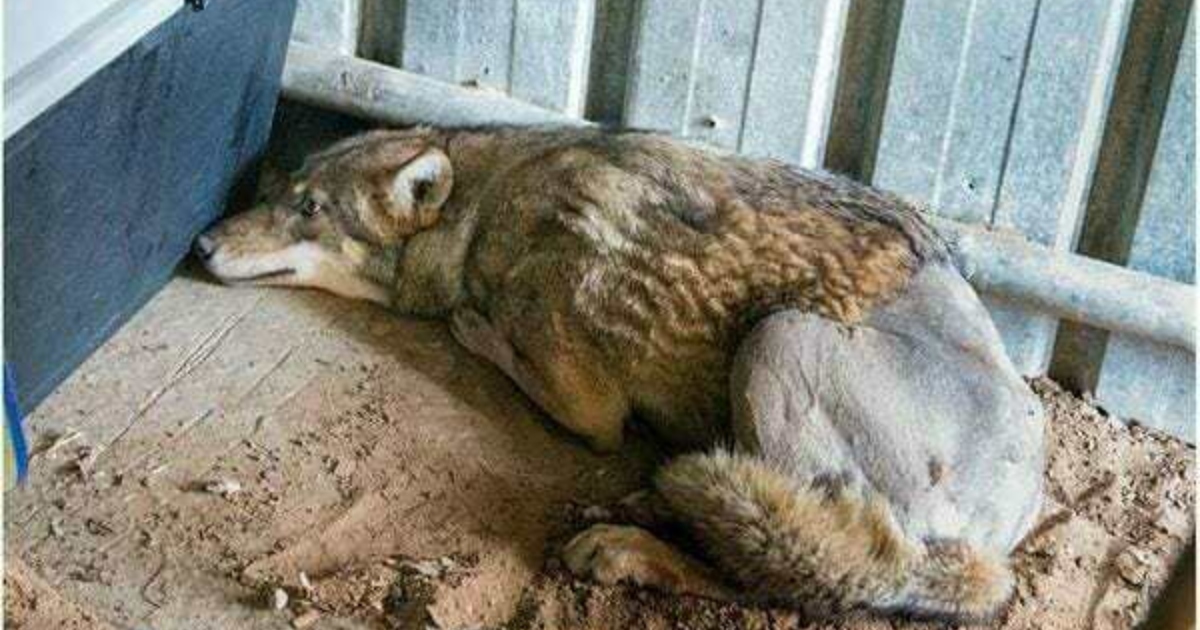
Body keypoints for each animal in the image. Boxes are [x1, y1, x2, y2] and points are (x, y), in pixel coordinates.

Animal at [195, 126, 1045, 622]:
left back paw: (631, 547)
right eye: (280, 190)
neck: (486, 204)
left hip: (779, 340)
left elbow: (500, 345)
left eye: (309, 208)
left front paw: (473, 323)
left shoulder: (589, 404)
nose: (200, 246)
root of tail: (998, 541)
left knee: (812, 586)